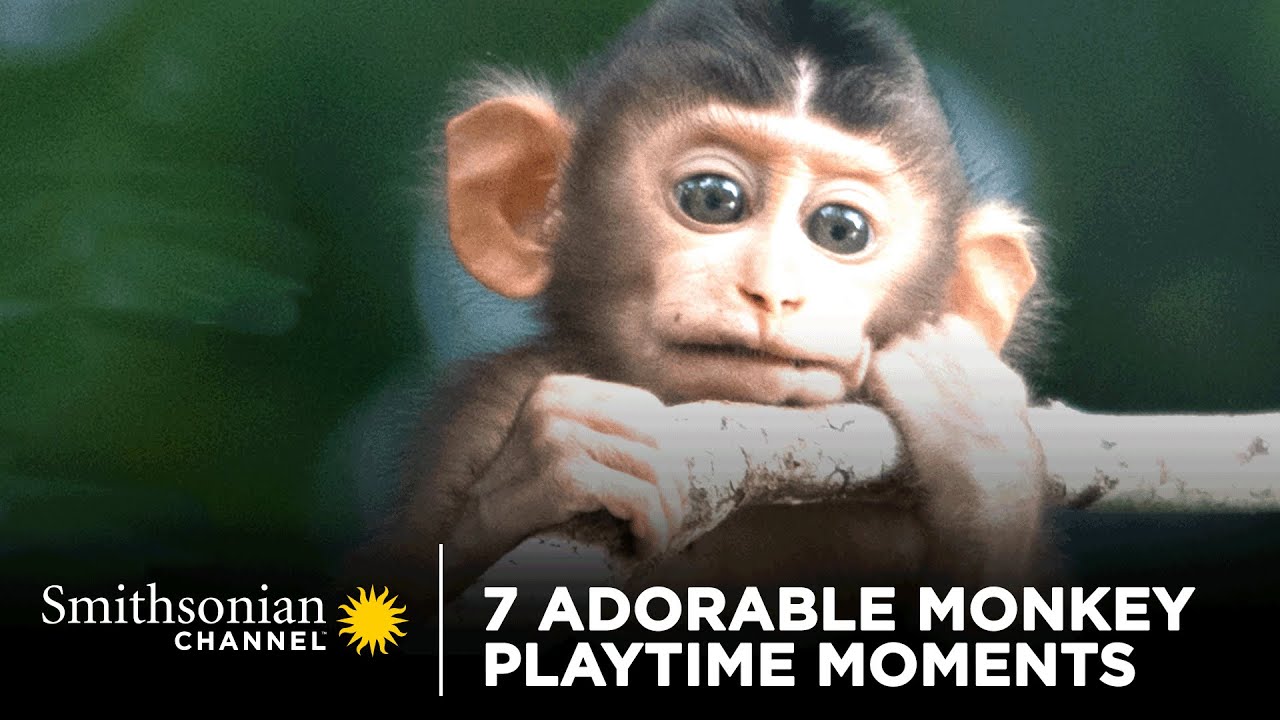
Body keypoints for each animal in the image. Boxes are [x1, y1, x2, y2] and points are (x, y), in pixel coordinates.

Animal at [348, 0, 1053, 611]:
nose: (771, 290)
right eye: (713, 198)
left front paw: (976, 434)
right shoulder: (485, 410)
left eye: (840, 230)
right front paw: (552, 464)